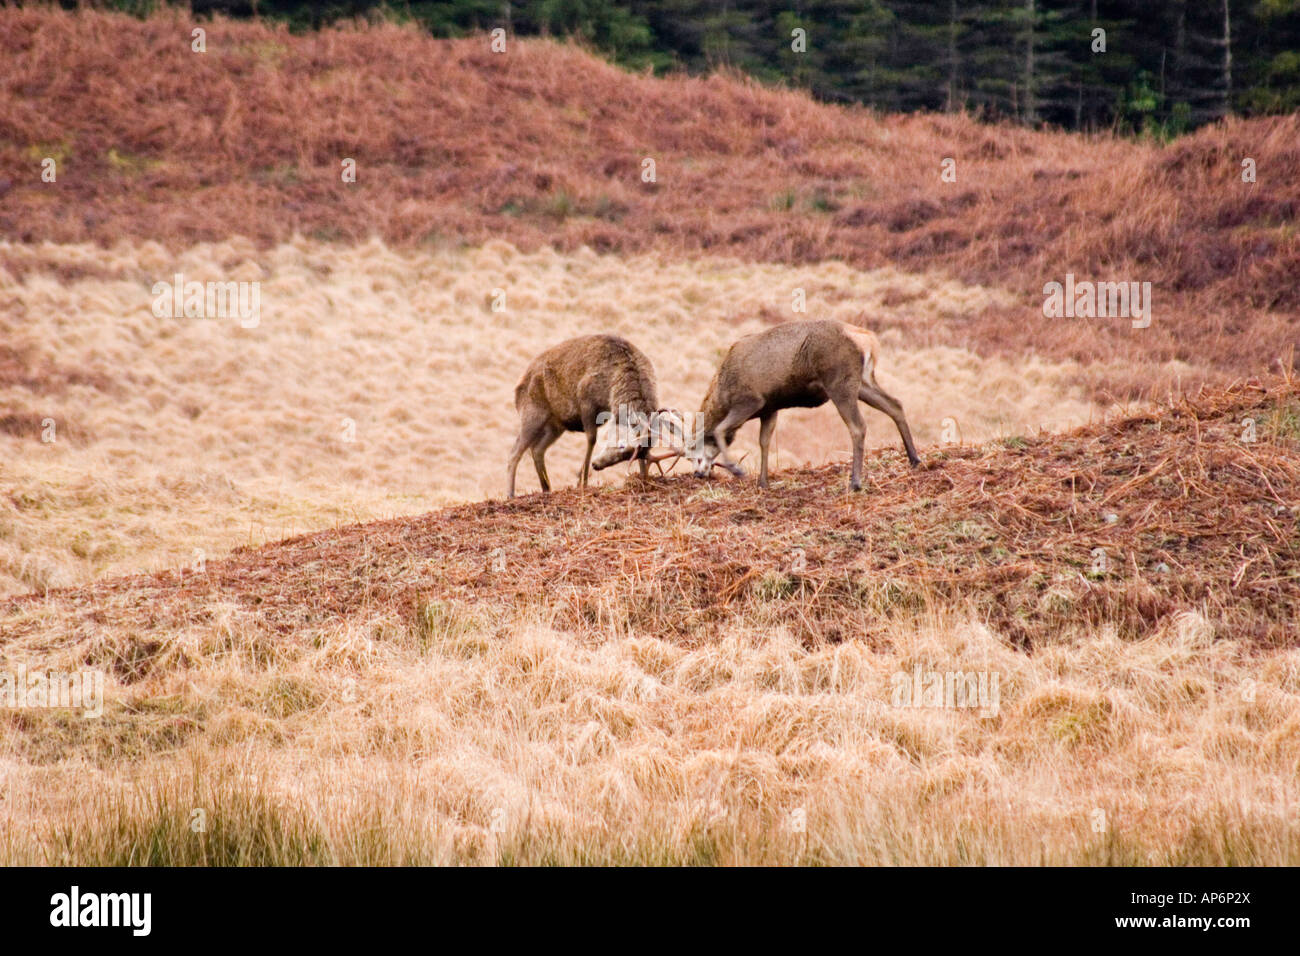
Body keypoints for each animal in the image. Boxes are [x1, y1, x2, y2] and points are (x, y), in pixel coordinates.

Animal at [507, 334, 671, 499]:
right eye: (621, 445)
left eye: (630, 455)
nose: (597, 465)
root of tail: (518, 385)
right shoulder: (586, 400)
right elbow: (591, 439)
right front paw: (582, 482)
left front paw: (643, 478)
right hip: (532, 414)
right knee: (515, 452)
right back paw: (510, 494)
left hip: (556, 425)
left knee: (537, 449)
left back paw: (546, 488)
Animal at [688, 319, 921, 490]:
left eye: (694, 449)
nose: (698, 474)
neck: (723, 392)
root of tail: (867, 340)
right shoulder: (770, 408)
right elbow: (764, 442)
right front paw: (763, 482)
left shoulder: (750, 401)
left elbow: (720, 430)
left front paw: (738, 470)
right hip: (864, 382)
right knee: (895, 404)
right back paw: (914, 459)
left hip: (840, 383)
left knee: (858, 426)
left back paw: (855, 482)